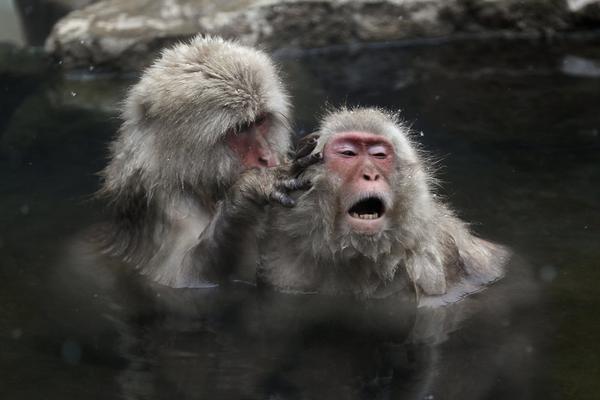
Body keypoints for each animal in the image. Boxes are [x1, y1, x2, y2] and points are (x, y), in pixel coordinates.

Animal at [98, 35, 316, 288]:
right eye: (240, 129)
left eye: (260, 121)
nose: (267, 157)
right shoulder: (170, 205)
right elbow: (185, 276)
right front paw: (256, 185)